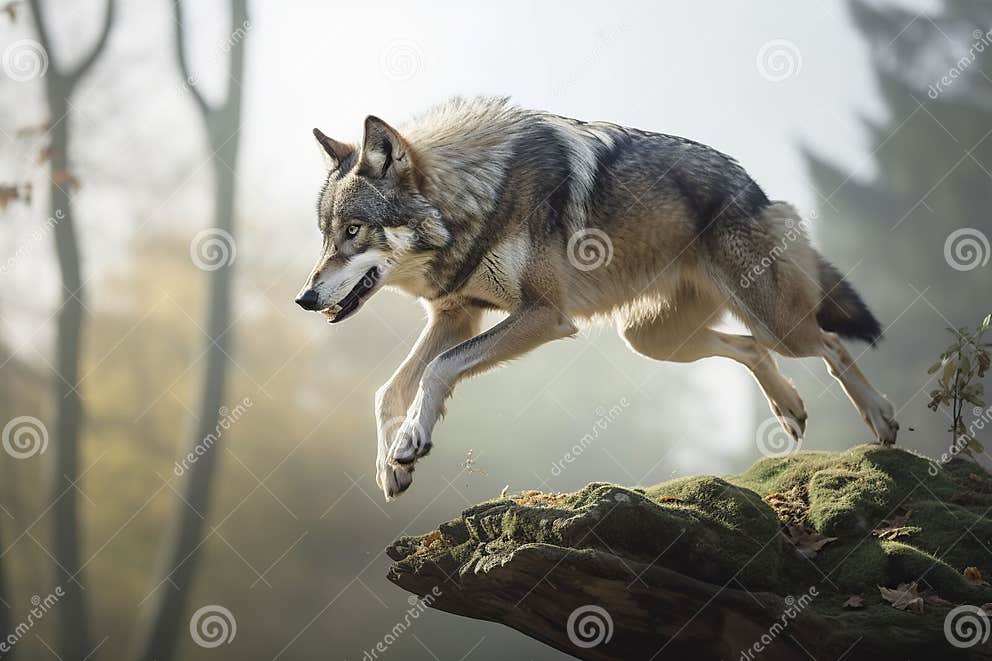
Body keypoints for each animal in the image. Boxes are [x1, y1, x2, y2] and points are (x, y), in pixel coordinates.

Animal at [296, 97, 897, 500]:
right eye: (325, 235)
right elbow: (390, 390)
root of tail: (758, 189)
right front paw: (391, 465)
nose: (304, 298)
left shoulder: (543, 315)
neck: (479, 197)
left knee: (831, 346)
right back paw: (790, 407)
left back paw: (882, 419)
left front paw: (410, 443)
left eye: (354, 231)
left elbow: (439, 369)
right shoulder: (457, 316)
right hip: (651, 340)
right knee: (751, 349)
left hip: (775, 323)